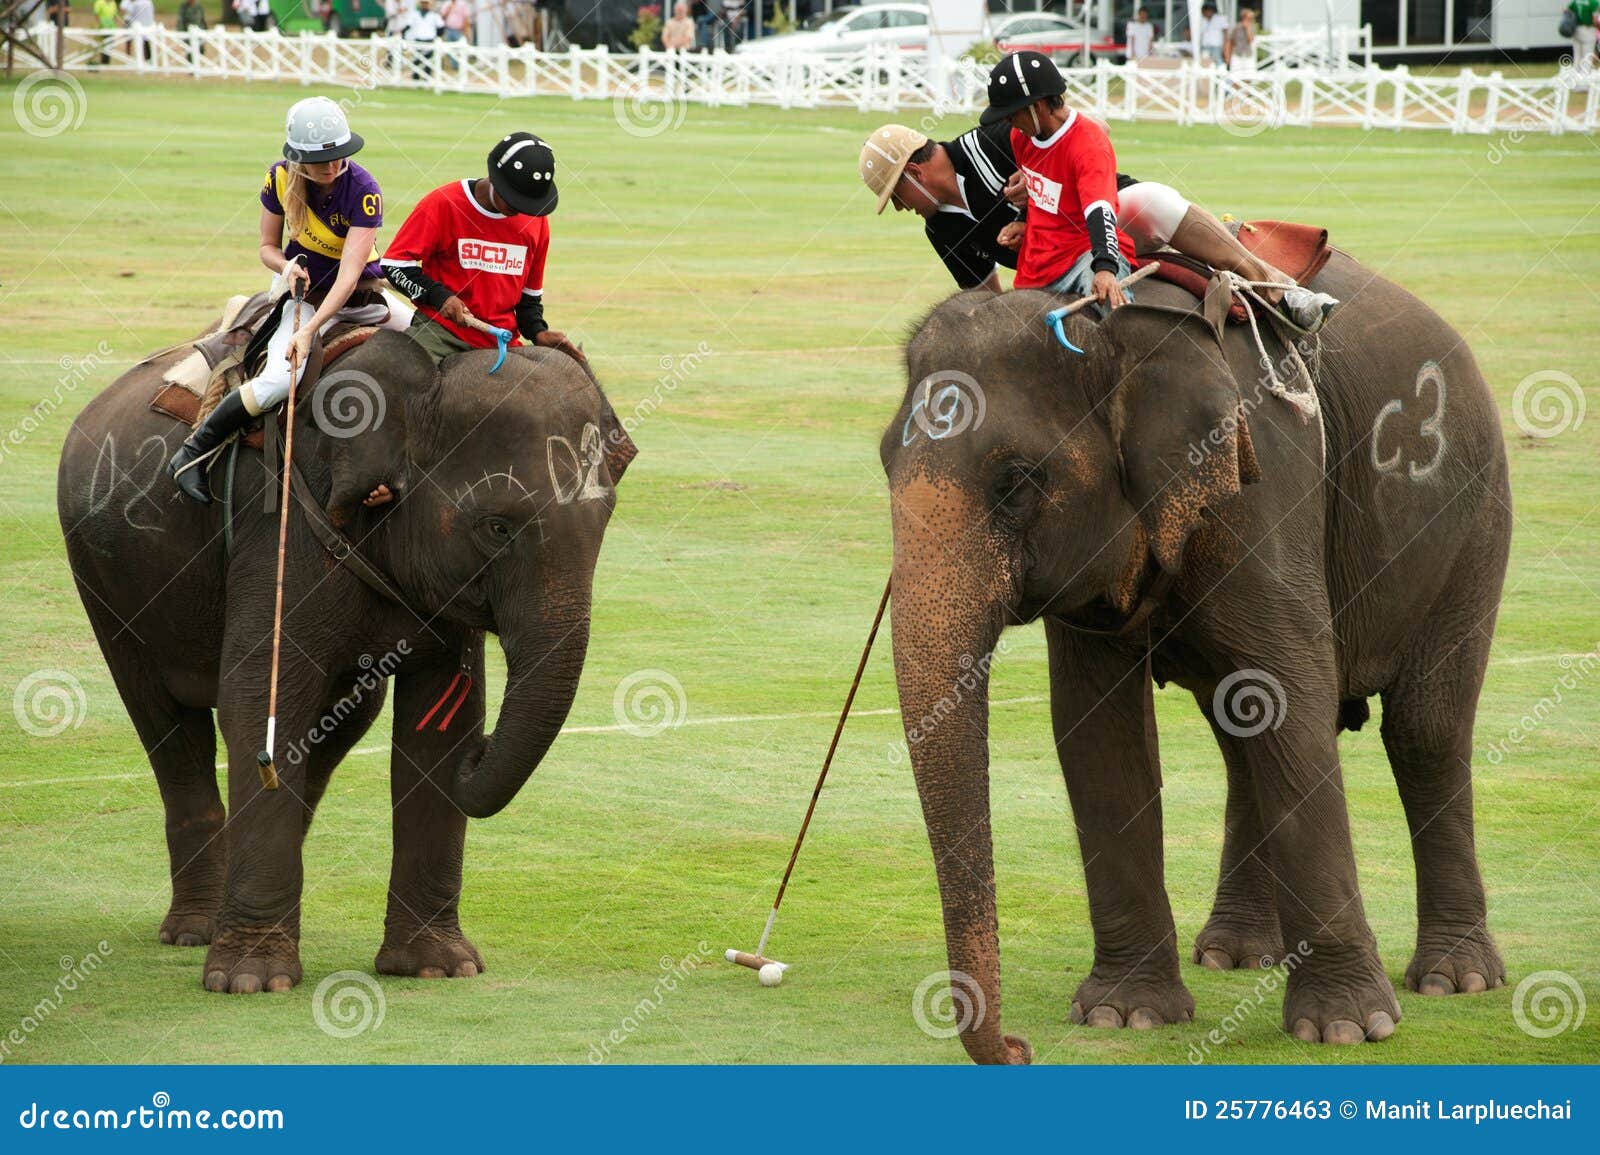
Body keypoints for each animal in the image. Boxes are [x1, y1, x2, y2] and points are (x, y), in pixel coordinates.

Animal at [57, 329, 624, 993]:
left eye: (606, 520)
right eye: (497, 527)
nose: (482, 754)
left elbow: (439, 725)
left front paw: (438, 968)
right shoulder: (280, 529)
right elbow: (260, 703)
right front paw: (253, 982)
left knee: (343, 718)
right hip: (103, 577)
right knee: (164, 722)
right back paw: (195, 930)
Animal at [881, 254, 1510, 1063]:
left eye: (1016, 482)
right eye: (884, 461)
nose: (1019, 1047)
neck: (1109, 330)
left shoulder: (1262, 482)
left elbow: (1292, 694)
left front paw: (1346, 1028)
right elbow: (1094, 729)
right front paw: (1125, 1015)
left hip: (1474, 523)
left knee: (1424, 732)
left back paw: (1455, 978)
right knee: (1244, 735)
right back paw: (1238, 955)